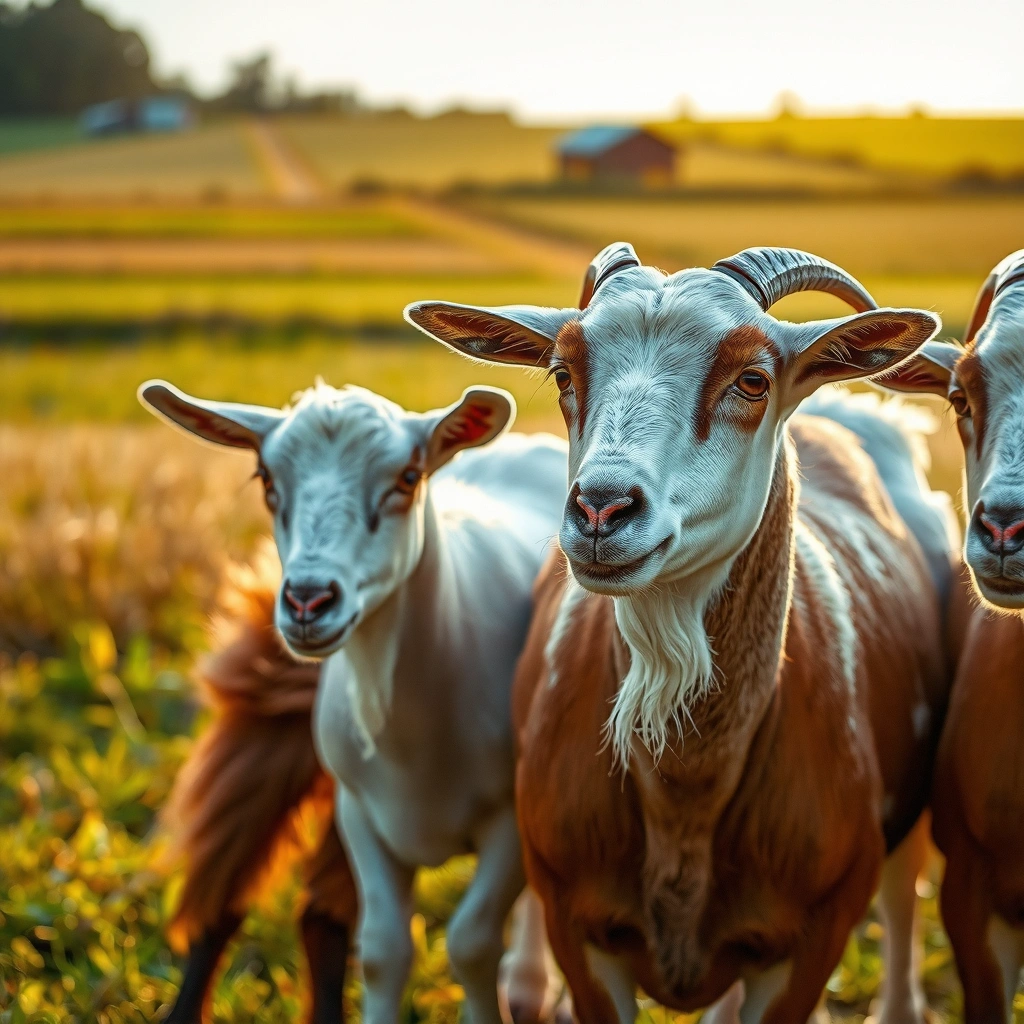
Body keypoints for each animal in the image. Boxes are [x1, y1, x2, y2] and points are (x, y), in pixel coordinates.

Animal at [140, 379, 567, 1024]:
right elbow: (384, 950)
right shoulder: (358, 814)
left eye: (409, 477)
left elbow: (470, 944)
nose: (308, 601)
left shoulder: (506, 824)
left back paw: (527, 984)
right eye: (266, 478)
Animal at [406, 245, 955, 1024]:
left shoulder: (810, 941)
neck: (685, 797)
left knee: (904, 893)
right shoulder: (580, 928)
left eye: (753, 380)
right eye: (563, 373)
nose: (602, 509)